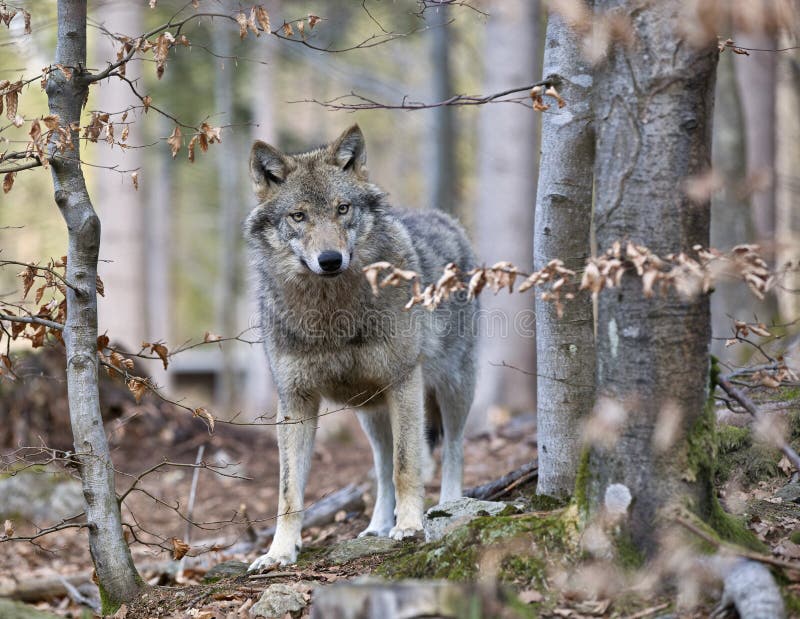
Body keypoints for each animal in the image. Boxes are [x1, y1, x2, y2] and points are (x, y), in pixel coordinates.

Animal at [244, 125, 477, 571]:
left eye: (342, 209)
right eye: (298, 216)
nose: (330, 259)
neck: (331, 312)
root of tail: (447, 219)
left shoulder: (404, 382)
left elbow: (408, 466)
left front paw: (410, 526)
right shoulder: (295, 401)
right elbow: (288, 492)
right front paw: (279, 552)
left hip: (453, 389)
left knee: (453, 450)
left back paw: (450, 506)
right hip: (371, 412)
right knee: (380, 467)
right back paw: (376, 527)